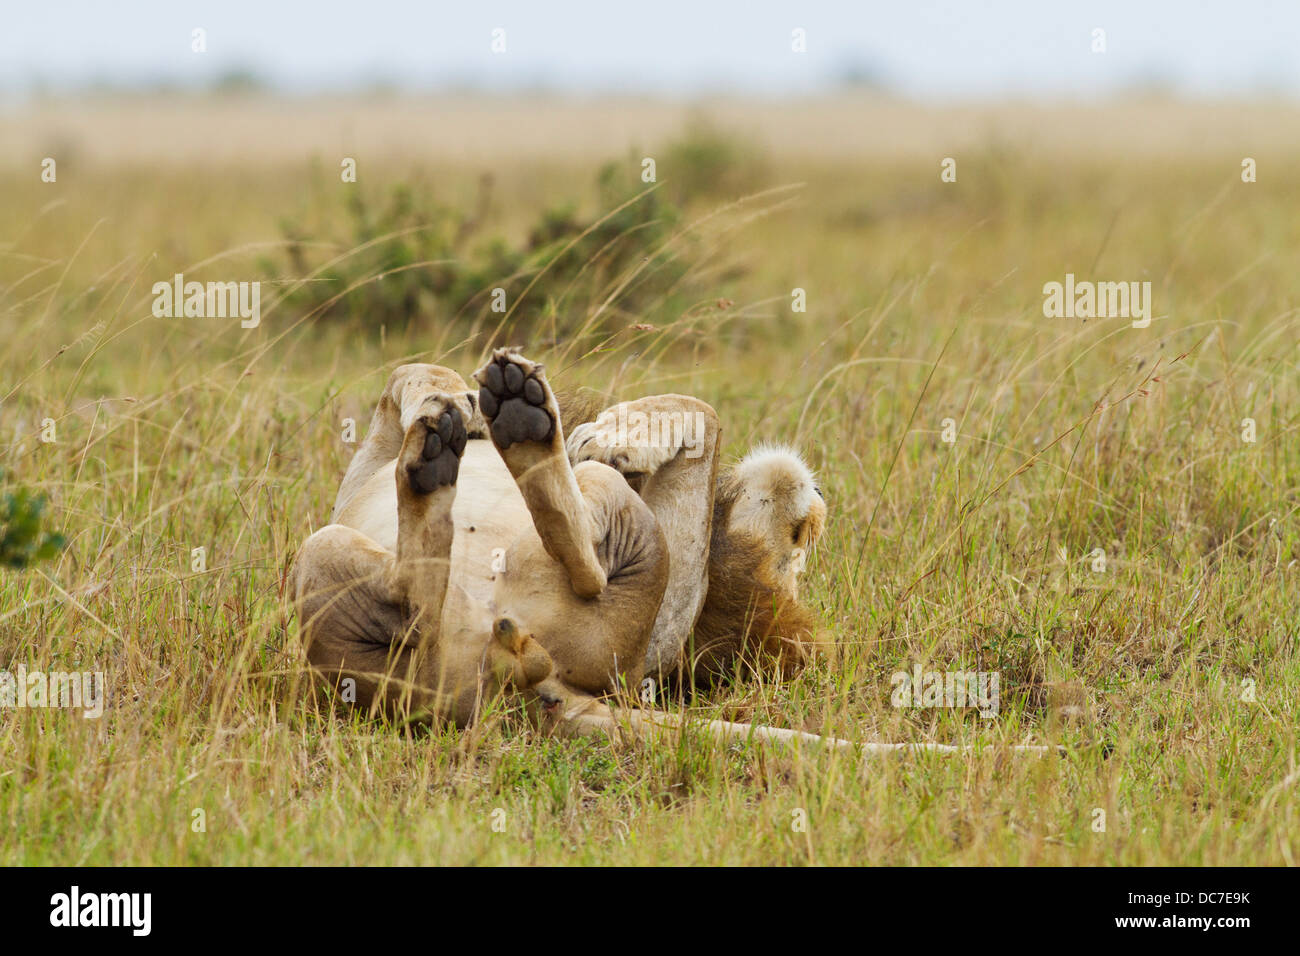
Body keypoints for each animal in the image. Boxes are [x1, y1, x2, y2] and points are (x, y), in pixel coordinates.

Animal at [290, 348, 826, 740]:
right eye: (798, 540)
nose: (813, 506)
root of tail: (526, 681)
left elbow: (405, 373)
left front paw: (610, 433)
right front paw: (459, 405)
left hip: (322, 552)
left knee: (428, 605)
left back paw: (487, 435)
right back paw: (482, 435)